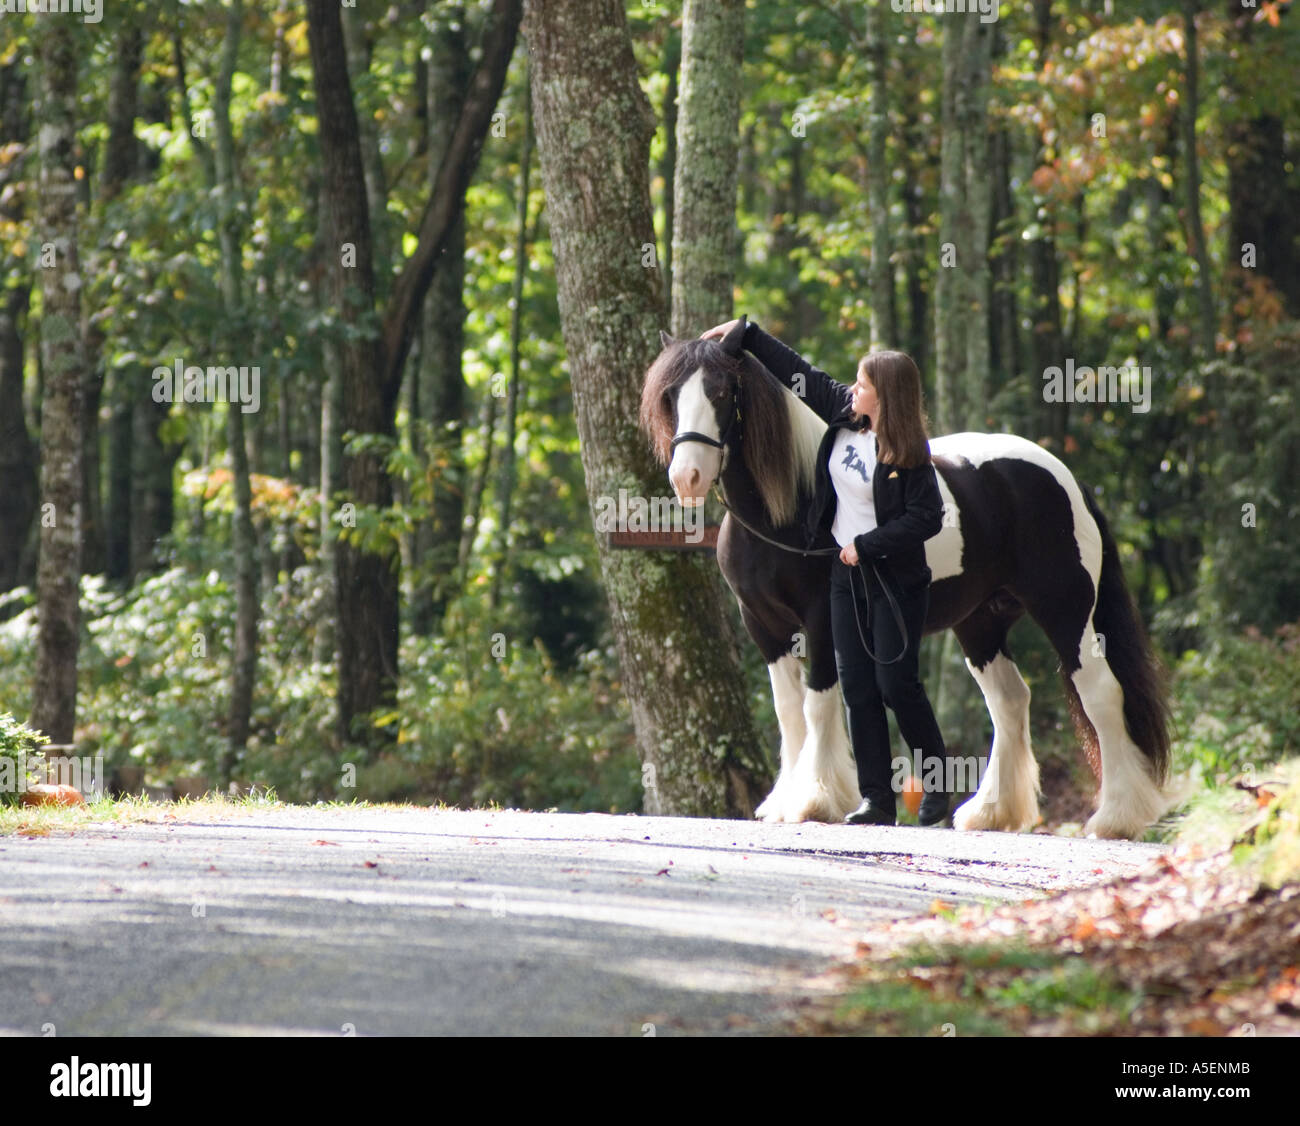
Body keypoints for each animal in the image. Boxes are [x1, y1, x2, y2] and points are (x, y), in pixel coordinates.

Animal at [638, 319, 1170, 840]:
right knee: (1009, 700)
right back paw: (989, 812)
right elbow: (788, 712)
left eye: (722, 391)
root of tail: (1066, 479)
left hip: (1065, 610)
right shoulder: (764, 627)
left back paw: (1115, 818)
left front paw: (817, 800)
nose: (686, 478)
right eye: (670, 396)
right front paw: (784, 801)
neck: (783, 511)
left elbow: (818, 705)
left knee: (1100, 692)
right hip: (981, 621)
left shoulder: (820, 621)